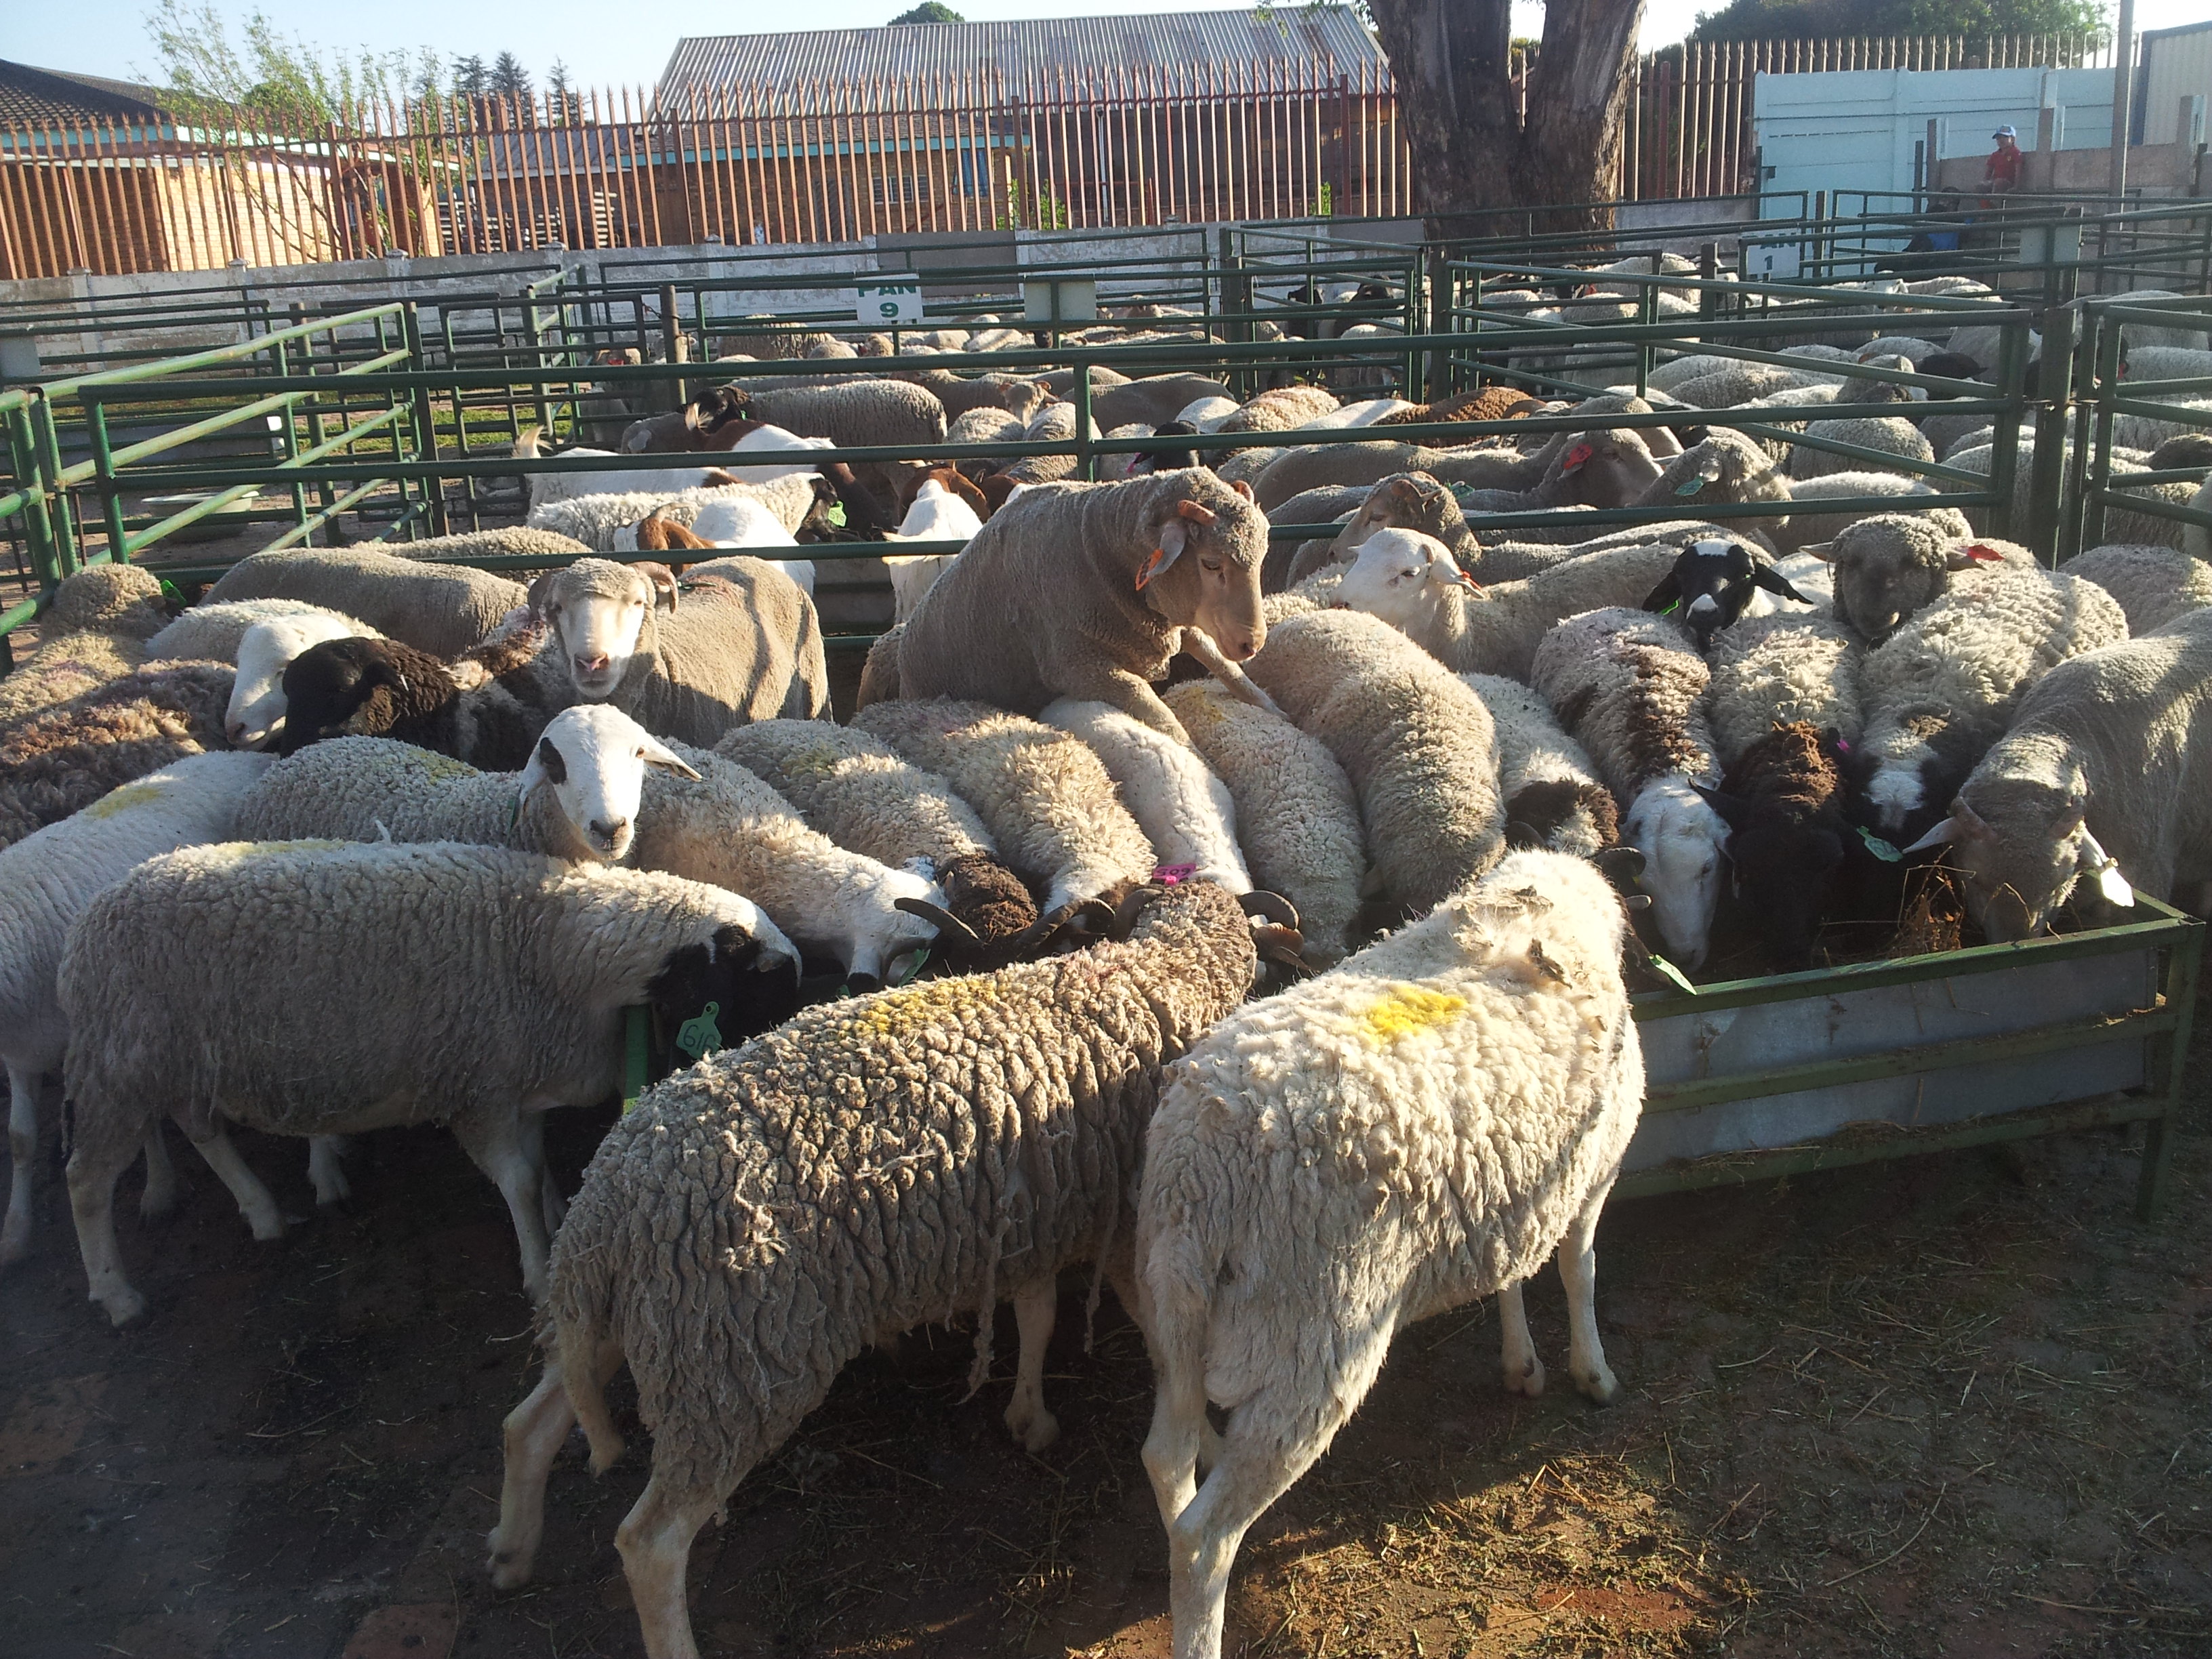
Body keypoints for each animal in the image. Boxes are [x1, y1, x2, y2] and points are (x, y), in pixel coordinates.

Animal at [0, 753, 274, 1269]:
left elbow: (146, 1119)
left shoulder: (117, 1028)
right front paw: (14, 1234)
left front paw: (159, 1188)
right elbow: (20, 1139)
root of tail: (243, 755)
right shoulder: (21, 1054)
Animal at [61, 840, 803, 1325]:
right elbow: (517, 1179)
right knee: (87, 1181)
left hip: (179, 1060)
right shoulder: (477, 1088)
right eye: (756, 992)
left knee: (201, 1128)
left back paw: (263, 1212)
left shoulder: (516, 1077)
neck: (556, 947)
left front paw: (553, 1220)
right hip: (119, 1066)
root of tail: (98, 909)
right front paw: (538, 1272)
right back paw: (117, 1294)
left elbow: (536, 1165)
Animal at [484, 879, 1257, 1659]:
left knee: (529, 1423)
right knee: (650, 1544)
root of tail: (604, 1209)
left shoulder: (1031, 1219)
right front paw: (1207, 1440)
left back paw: (511, 1551)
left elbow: (1038, 1319)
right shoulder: (1128, 1230)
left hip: (647, 1329)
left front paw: (1029, 1417)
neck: (1154, 976)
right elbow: (1163, 1352)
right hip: (728, 1370)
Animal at [871, 470, 1272, 743]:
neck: (1101, 544)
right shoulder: (1081, 667)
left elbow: (1229, 670)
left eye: (1262, 558)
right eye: (1211, 564)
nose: (1252, 643)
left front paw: (1273, 708)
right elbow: (1165, 722)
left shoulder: (1170, 618)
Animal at [1137, 849, 1642, 1659]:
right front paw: (1592, 1373)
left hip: (1172, 1312)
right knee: (1205, 1537)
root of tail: (1205, 1162)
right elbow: (1578, 1271)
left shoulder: (1515, 1186)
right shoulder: (1595, 1171)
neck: (1543, 904)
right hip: (1310, 1347)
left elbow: (1512, 1273)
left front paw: (1522, 1364)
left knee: (1165, 1457)